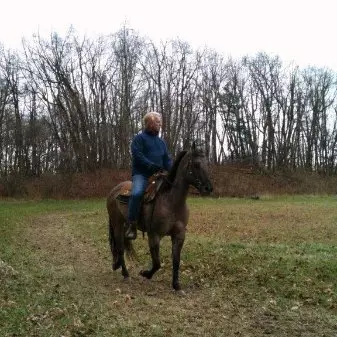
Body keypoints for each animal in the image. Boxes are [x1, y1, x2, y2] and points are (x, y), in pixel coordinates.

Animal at [106, 140, 211, 290]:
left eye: (207, 163)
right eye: (196, 164)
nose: (208, 188)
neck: (172, 201)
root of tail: (113, 191)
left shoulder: (179, 235)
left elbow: (176, 260)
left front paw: (176, 285)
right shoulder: (154, 235)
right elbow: (157, 263)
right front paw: (145, 274)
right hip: (117, 225)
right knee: (120, 249)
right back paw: (125, 274)